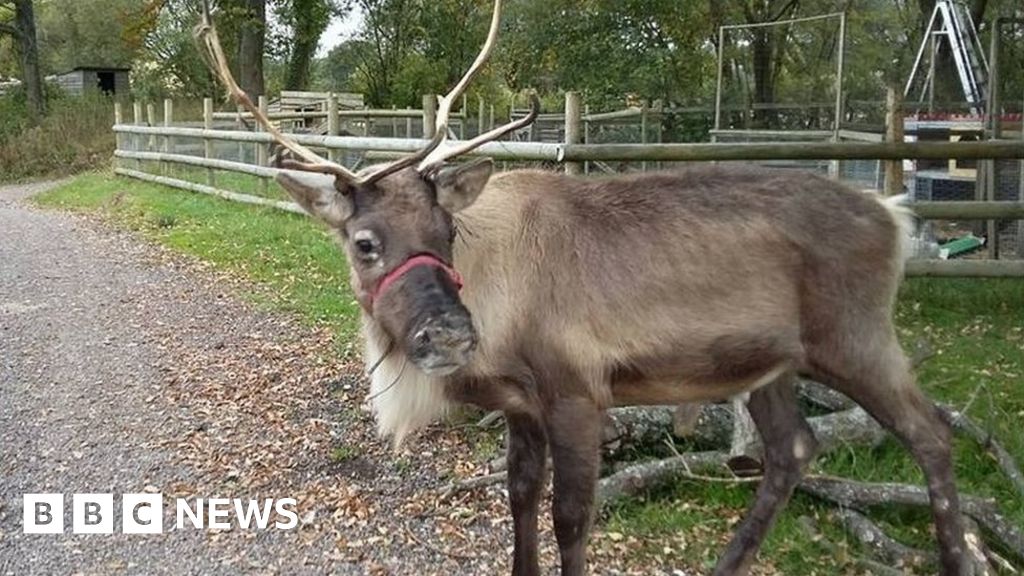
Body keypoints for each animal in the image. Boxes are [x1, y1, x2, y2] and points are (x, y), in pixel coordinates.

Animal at [196, 2, 968, 575]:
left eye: (446, 231)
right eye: (364, 243)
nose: (450, 334)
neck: (499, 310)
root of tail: (895, 217)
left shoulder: (578, 391)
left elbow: (570, 519)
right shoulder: (522, 406)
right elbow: (518, 500)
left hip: (856, 338)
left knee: (932, 435)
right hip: (771, 365)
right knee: (794, 450)